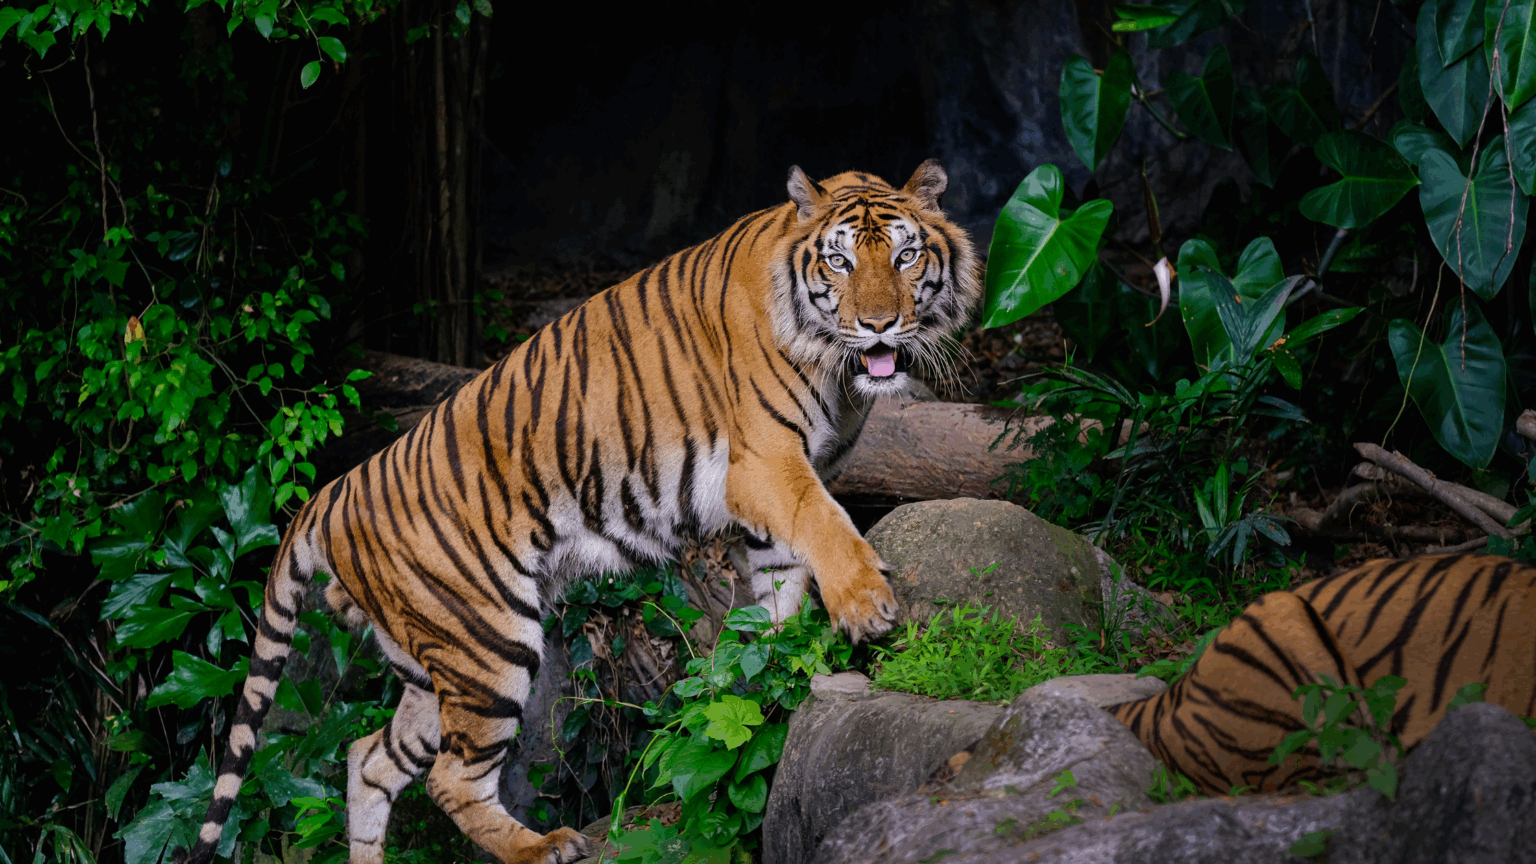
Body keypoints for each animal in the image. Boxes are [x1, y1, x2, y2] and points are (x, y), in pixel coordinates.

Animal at [177, 160, 980, 864]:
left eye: (906, 255)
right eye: (839, 264)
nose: (879, 326)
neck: (841, 373)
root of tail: (332, 491)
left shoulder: (769, 508)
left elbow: (778, 604)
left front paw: (776, 685)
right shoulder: (766, 465)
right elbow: (826, 523)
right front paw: (866, 606)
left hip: (433, 664)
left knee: (366, 757)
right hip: (489, 643)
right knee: (447, 778)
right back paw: (543, 847)